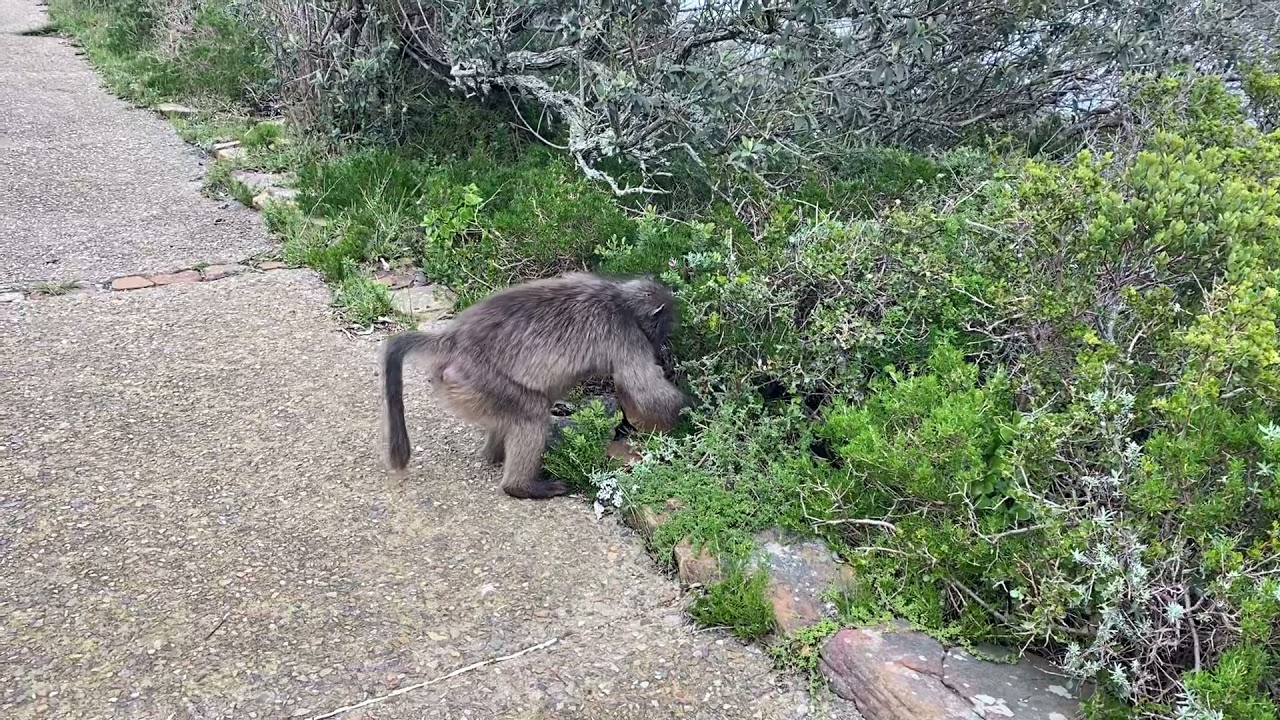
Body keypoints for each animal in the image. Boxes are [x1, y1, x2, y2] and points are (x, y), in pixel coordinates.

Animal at [380, 272, 689, 500]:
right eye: (665, 324)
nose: (661, 346)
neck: (619, 299)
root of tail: (452, 339)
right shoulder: (626, 336)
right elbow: (643, 389)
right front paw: (692, 414)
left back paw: (495, 456)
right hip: (476, 379)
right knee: (532, 410)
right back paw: (522, 486)